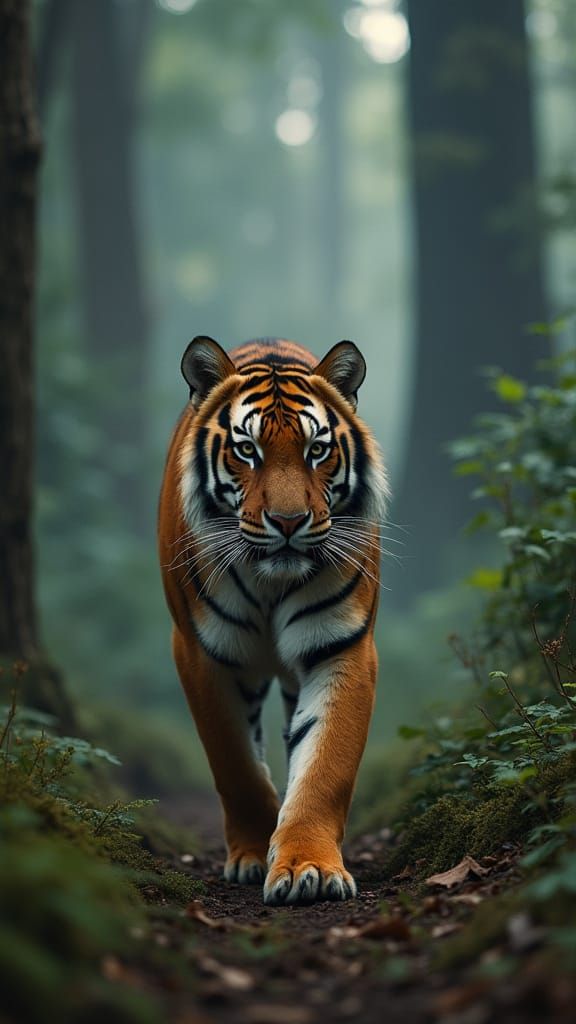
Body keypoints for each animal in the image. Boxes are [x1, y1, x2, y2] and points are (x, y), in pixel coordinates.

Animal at [158, 335, 388, 905]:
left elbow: (324, 765)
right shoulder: (201, 653)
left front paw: (310, 868)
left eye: (317, 450)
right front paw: (251, 854)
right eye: (247, 451)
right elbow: (236, 763)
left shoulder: (342, 647)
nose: (287, 522)